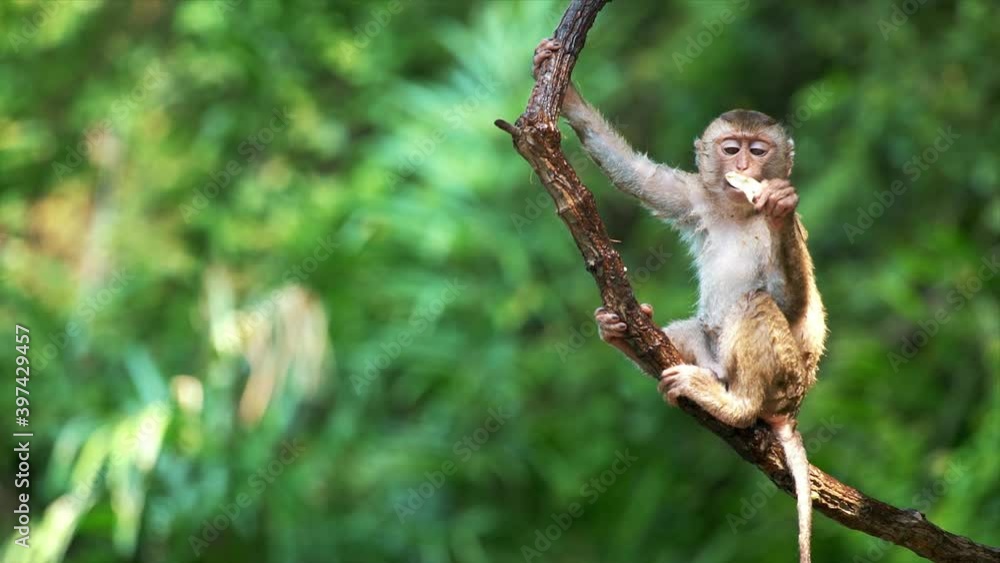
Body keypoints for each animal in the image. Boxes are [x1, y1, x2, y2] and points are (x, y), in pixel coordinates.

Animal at [533, 38, 827, 563]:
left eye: (758, 150)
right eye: (731, 149)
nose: (744, 168)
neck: (738, 210)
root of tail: (793, 407)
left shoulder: (792, 230)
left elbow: (790, 303)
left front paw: (778, 206)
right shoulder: (697, 197)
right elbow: (638, 176)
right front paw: (565, 95)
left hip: (787, 378)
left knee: (756, 304)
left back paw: (739, 408)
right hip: (719, 362)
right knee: (696, 332)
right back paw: (624, 335)